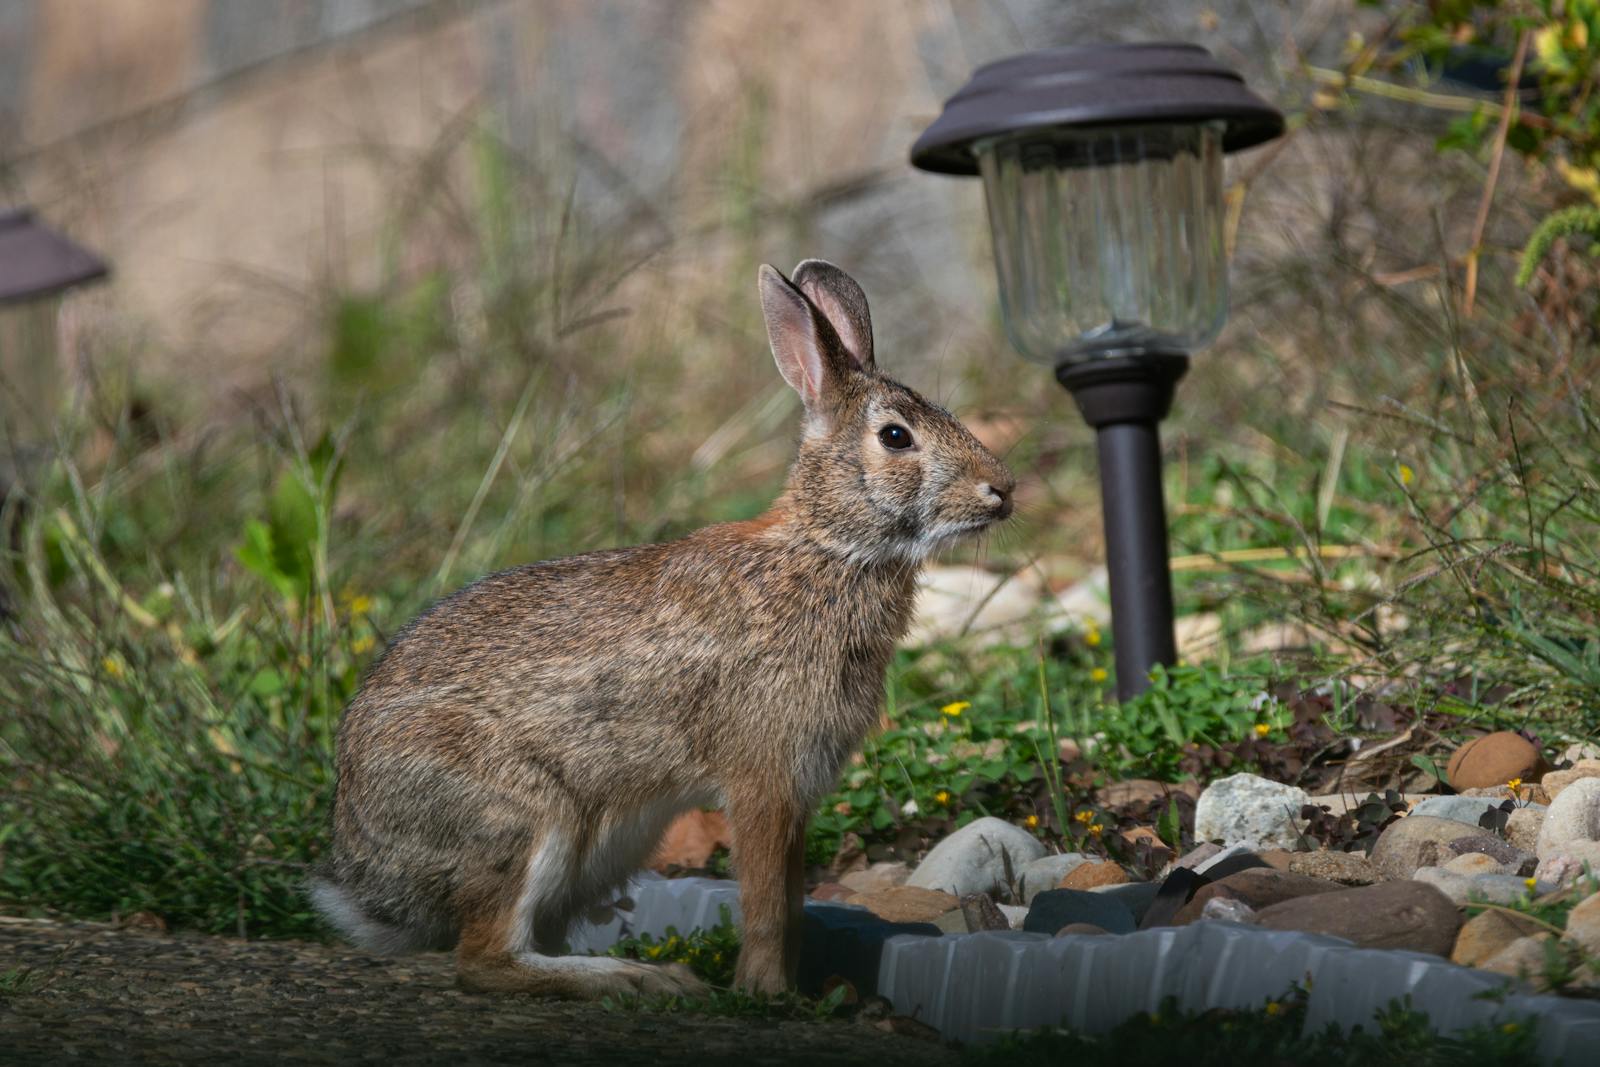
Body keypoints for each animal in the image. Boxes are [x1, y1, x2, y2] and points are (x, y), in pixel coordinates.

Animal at [310, 259, 1015, 999]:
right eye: (897, 437)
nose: (1003, 489)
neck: (829, 547)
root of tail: (364, 858)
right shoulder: (764, 778)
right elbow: (767, 904)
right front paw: (766, 995)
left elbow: (791, 900)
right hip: (521, 819)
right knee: (485, 958)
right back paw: (642, 978)